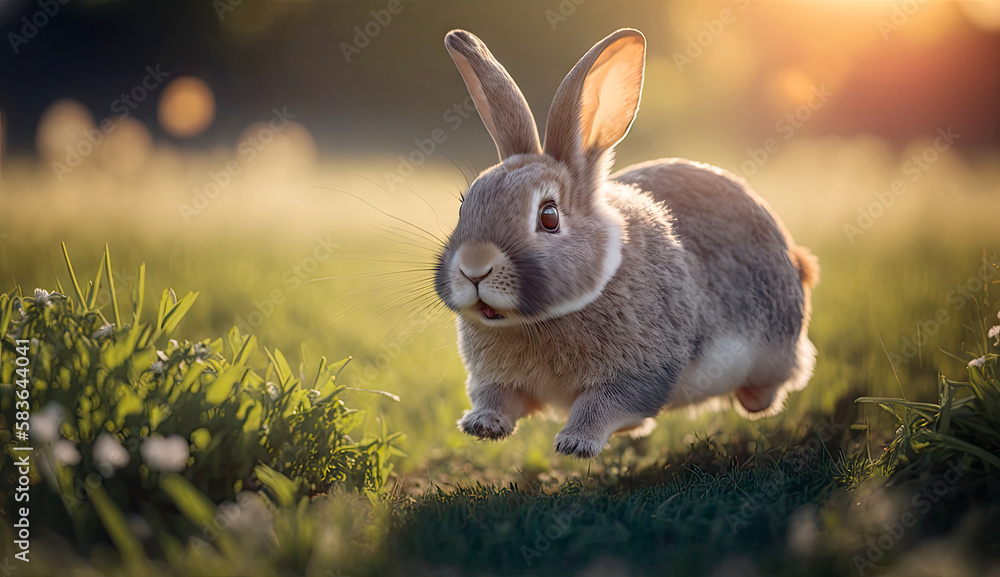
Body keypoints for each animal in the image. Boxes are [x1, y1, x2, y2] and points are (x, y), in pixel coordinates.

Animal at [433, 28, 819, 459]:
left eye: (549, 217)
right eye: (464, 205)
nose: (473, 269)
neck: (541, 318)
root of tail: (794, 258)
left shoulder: (635, 376)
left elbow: (601, 406)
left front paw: (575, 443)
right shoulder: (498, 381)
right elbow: (497, 397)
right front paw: (482, 426)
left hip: (775, 343)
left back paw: (754, 400)